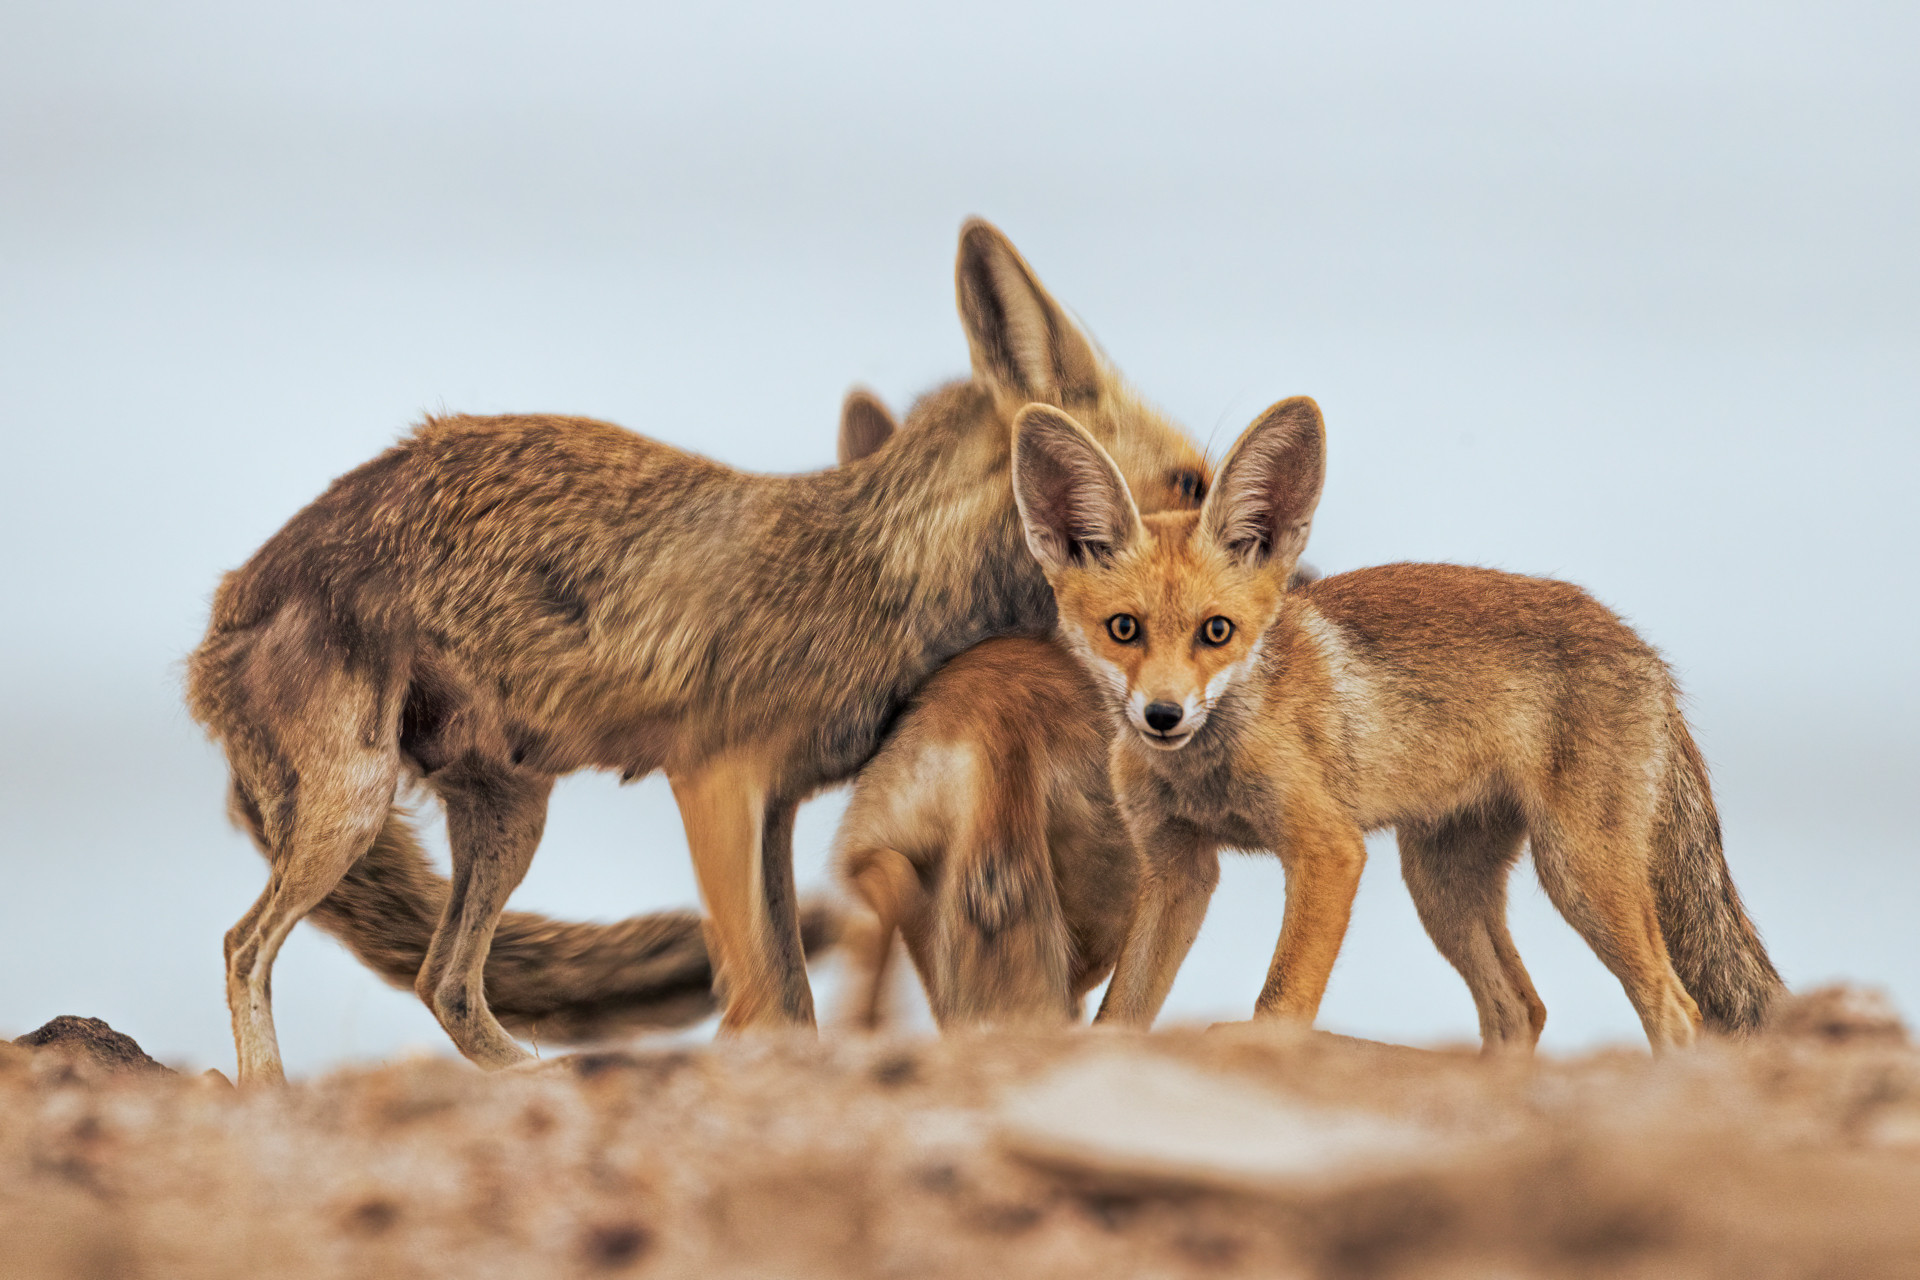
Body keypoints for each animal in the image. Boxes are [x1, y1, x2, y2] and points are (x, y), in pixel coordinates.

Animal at [186, 220, 1211, 1082]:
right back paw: (267, 1091)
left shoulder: (777, 808)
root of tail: (230, 600)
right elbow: (767, 998)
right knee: (245, 947)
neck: (879, 575)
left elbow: (786, 994)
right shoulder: (714, 779)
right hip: (354, 809)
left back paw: (538, 1076)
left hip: (509, 822)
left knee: (445, 983)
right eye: (1194, 482)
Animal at [1007, 395, 1784, 1052]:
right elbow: (1121, 1010)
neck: (1206, 770)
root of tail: (1643, 647)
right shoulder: (1178, 868)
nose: (1163, 715)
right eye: (1124, 629)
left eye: (1216, 631)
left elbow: (1282, 999)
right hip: (1442, 886)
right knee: (1520, 1008)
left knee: (1674, 1008)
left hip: (1577, 872)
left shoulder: (1329, 849)